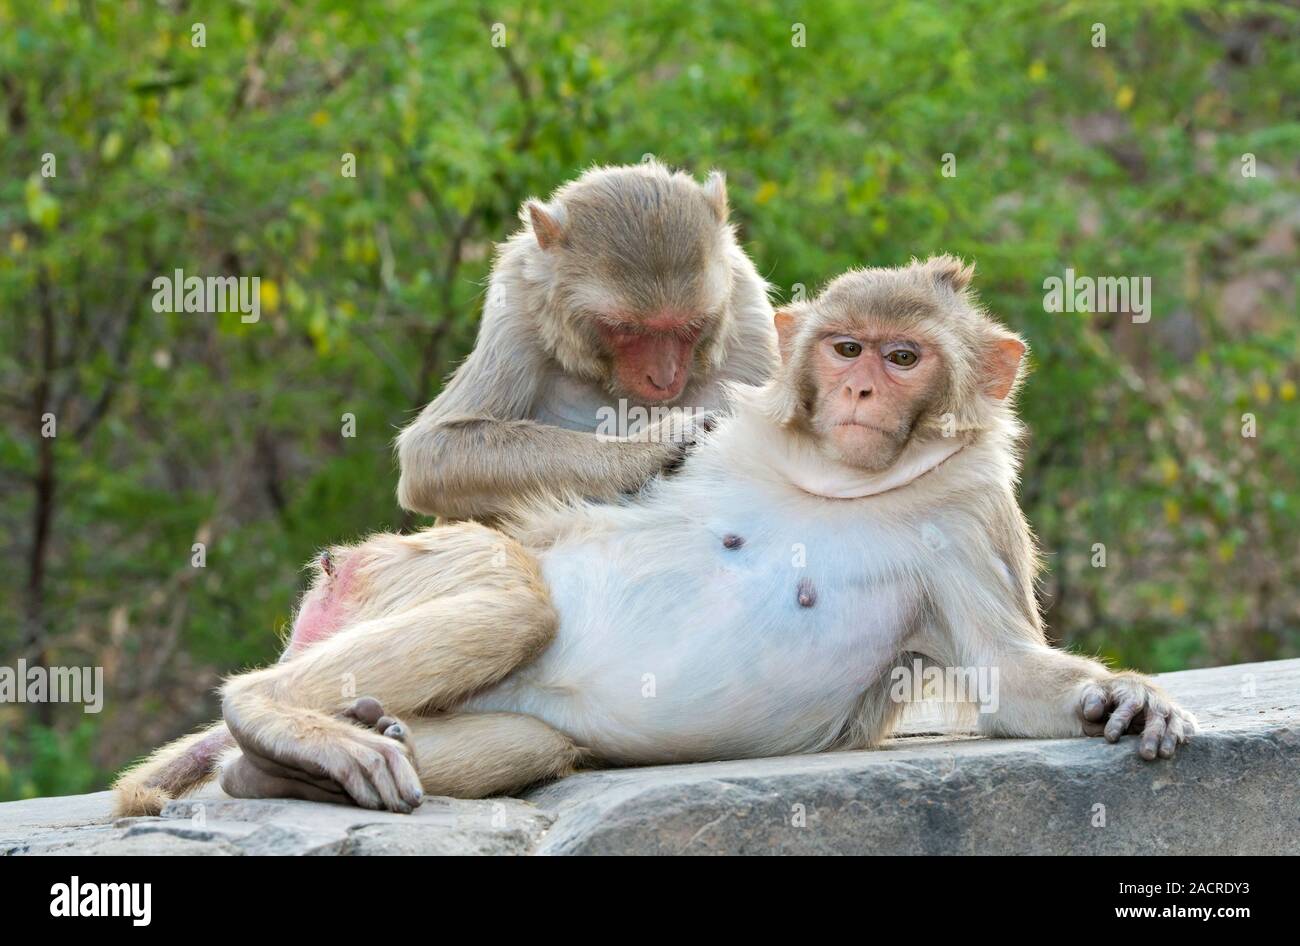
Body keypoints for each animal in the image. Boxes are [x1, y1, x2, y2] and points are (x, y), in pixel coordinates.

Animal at [115, 255, 1196, 816]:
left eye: (903, 358)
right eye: (846, 348)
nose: (857, 393)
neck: (846, 478)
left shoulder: (971, 510)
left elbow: (1008, 676)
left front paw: (1119, 698)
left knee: (530, 742)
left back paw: (270, 766)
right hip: (389, 569)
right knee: (517, 596)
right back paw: (272, 718)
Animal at [394, 159, 779, 522]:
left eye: (691, 326)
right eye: (625, 328)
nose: (663, 379)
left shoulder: (749, 310)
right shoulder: (515, 303)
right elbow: (433, 450)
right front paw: (652, 447)